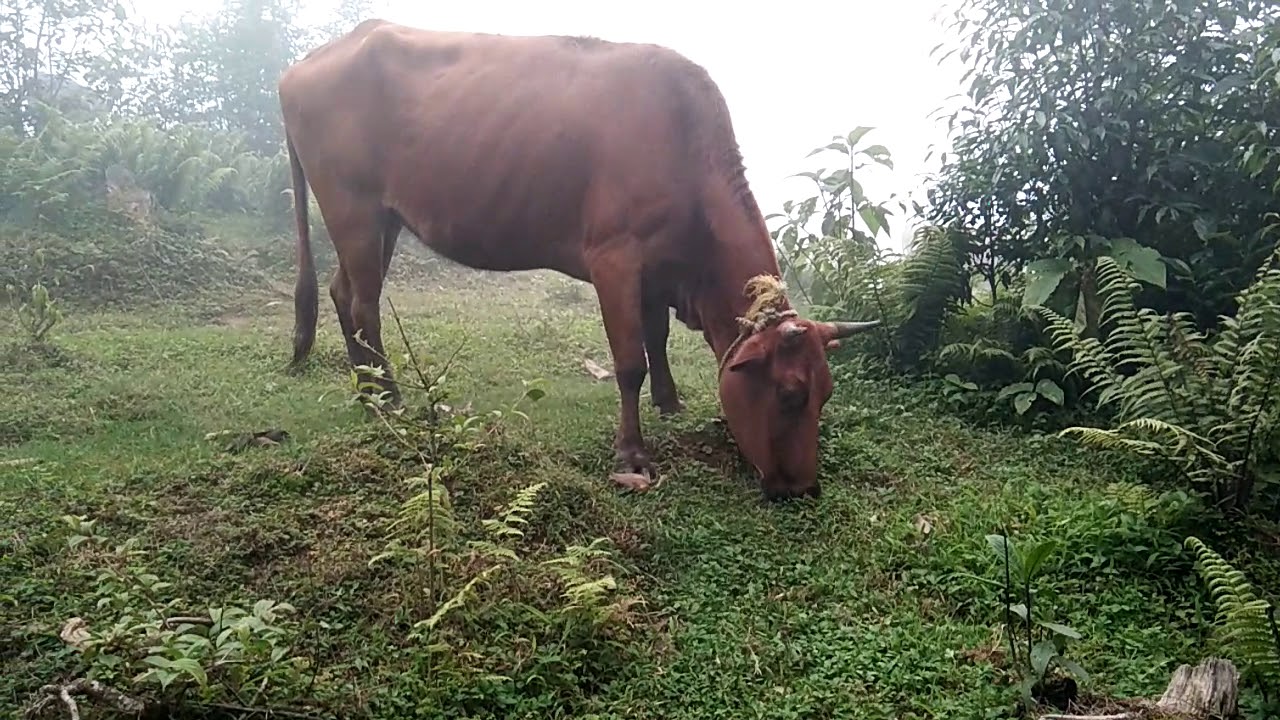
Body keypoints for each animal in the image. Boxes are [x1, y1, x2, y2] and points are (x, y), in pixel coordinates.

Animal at [278, 20, 881, 500]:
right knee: (365, 305)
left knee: (342, 293)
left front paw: (670, 402)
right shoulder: (615, 258)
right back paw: (390, 398)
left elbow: (656, 338)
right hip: (353, 208)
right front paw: (632, 454)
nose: (804, 488)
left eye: (825, 393)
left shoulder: (654, 268)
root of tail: (303, 66)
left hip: (384, 219)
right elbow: (630, 360)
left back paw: (366, 392)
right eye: (789, 393)